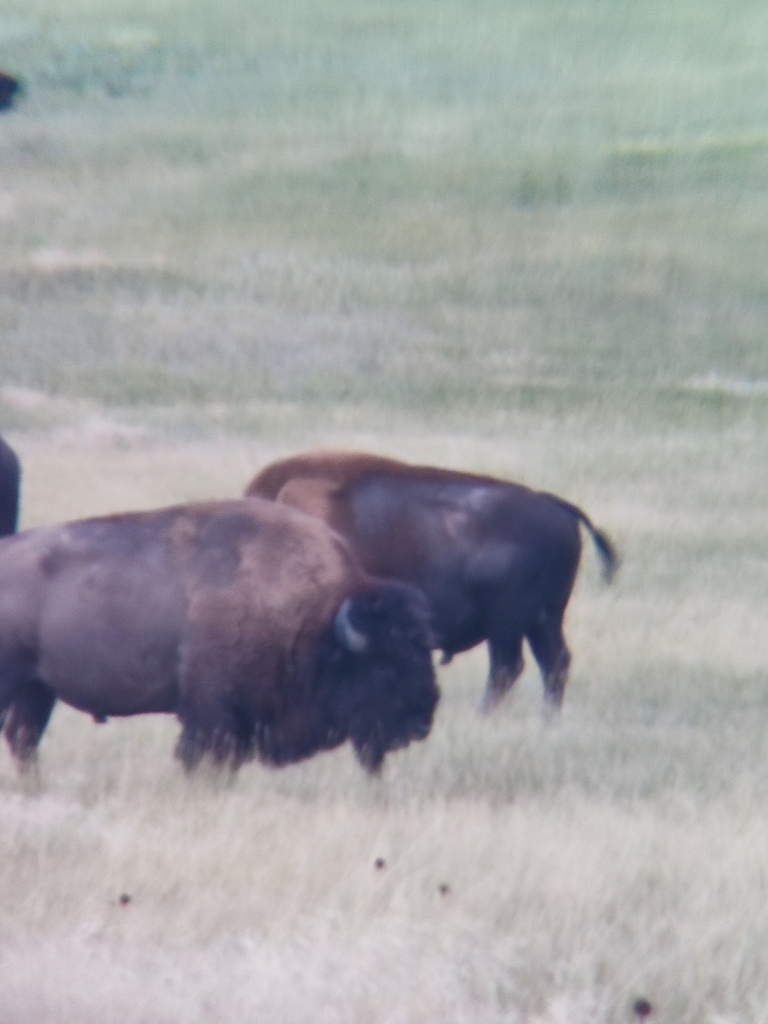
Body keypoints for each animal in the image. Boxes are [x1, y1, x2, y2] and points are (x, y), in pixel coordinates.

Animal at [0, 497, 438, 774]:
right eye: (384, 666)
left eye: (424, 654)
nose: (421, 722)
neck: (314, 620)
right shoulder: (211, 715)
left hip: (38, 689)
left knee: (24, 741)